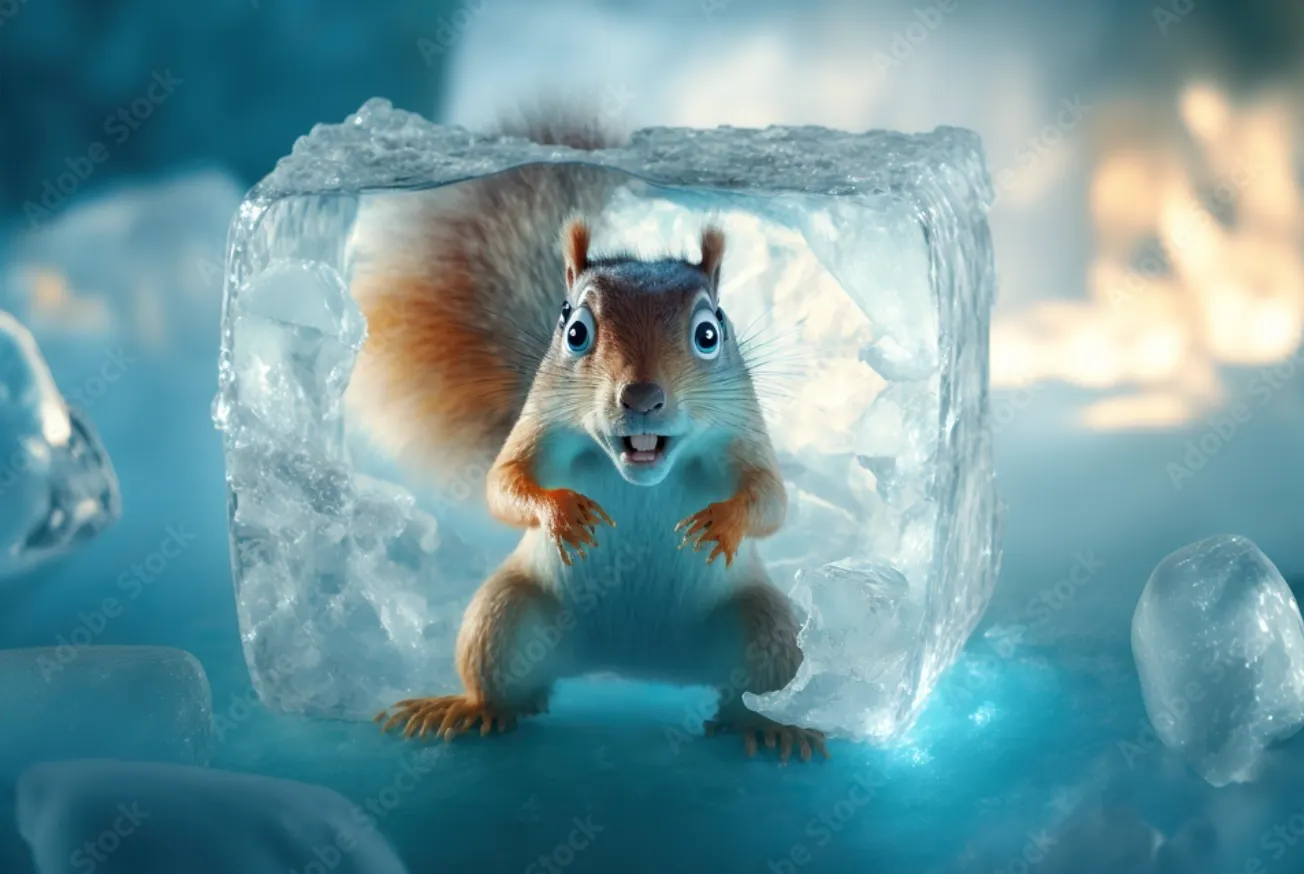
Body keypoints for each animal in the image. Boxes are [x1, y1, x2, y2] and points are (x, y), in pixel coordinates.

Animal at [353, 117, 827, 763]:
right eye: (575, 330)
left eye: (710, 333)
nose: (642, 396)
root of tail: (632, 664)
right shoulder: (541, 425)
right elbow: (501, 483)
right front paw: (561, 510)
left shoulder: (742, 432)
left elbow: (772, 498)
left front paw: (722, 522)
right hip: (503, 614)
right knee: (504, 679)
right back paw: (474, 709)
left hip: (765, 626)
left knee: (741, 692)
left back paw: (766, 723)